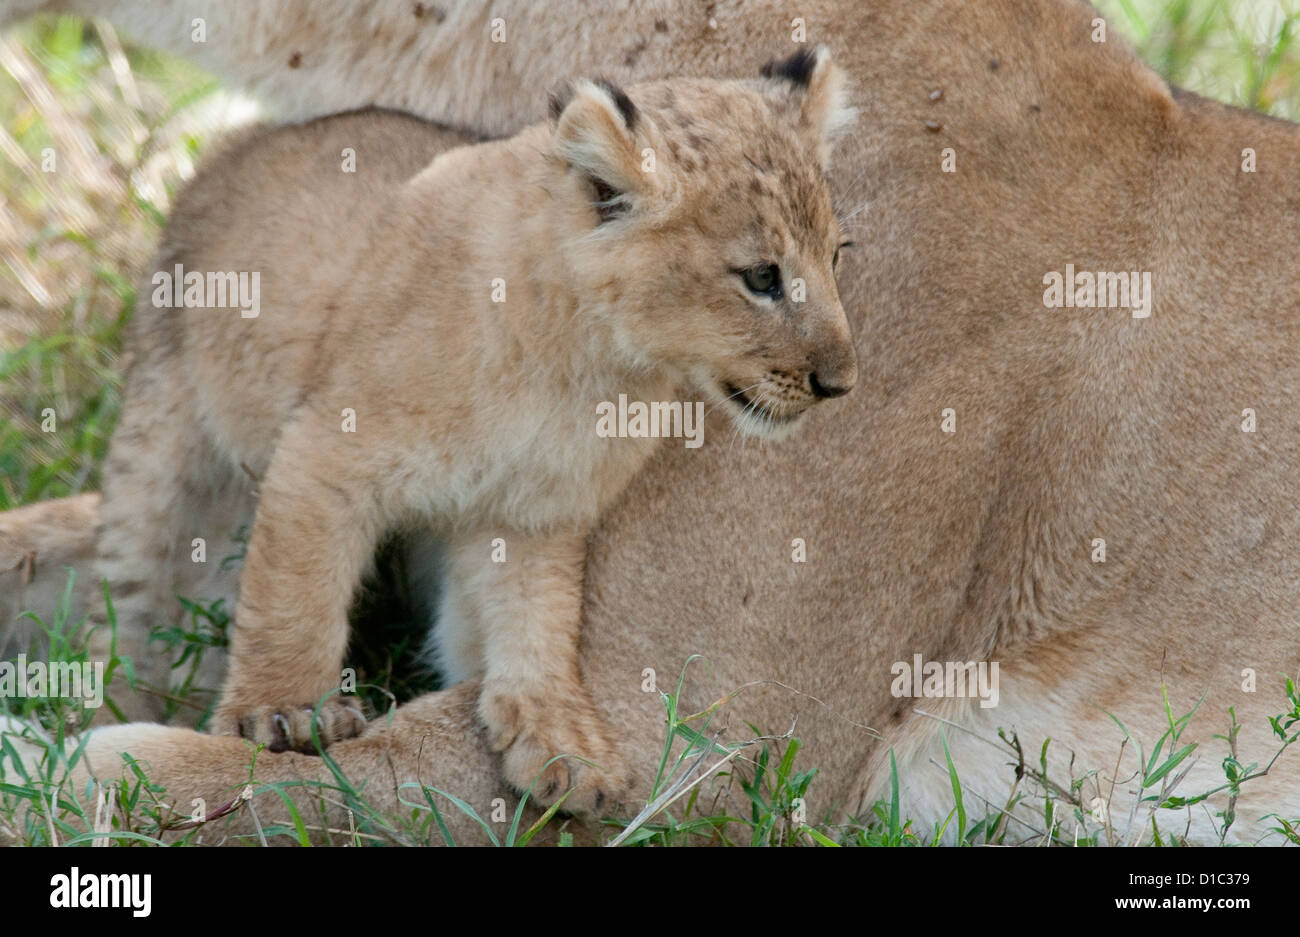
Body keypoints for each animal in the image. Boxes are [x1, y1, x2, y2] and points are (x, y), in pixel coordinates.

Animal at [2, 0, 1298, 844]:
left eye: (809, 270)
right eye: (762, 275)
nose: (836, 381)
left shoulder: (700, 745)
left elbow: (271, 784)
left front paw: (80, 756)